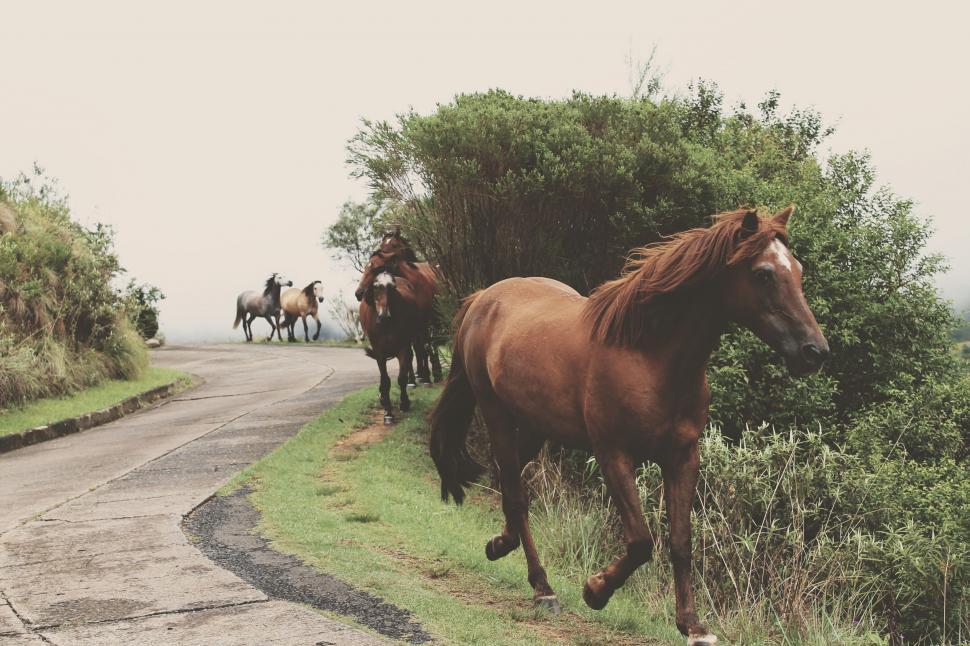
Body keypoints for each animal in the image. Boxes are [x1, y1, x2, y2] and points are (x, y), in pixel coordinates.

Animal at [360, 268, 426, 423]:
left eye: (392, 288)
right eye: (376, 287)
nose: (384, 316)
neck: (386, 325)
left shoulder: (403, 347)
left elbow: (401, 378)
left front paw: (404, 402)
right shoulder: (379, 352)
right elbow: (385, 380)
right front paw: (388, 412)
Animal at [429, 206, 828, 645]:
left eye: (798, 270)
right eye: (764, 274)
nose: (814, 351)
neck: (648, 356)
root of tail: (483, 297)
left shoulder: (683, 457)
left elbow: (681, 542)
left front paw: (692, 625)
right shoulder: (615, 454)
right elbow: (640, 542)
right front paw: (595, 590)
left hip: (536, 426)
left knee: (510, 482)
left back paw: (500, 544)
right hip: (497, 413)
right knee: (516, 495)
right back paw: (542, 587)